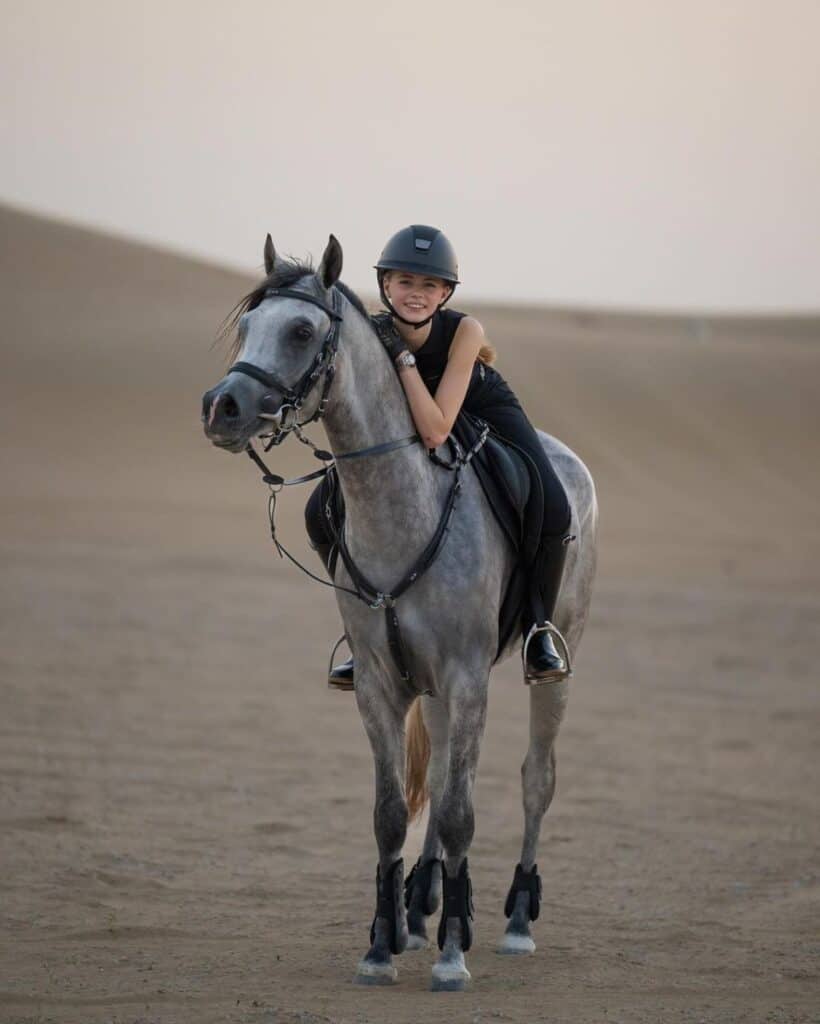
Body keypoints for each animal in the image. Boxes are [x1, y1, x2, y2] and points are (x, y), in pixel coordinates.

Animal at [201, 234, 598, 991]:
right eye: (248, 325)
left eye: (302, 332)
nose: (222, 407)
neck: (397, 503)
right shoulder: (383, 683)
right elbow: (393, 814)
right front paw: (384, 944)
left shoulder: (469, 680)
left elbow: (463, 813)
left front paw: (452, 957)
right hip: (433, 691)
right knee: (438, 778)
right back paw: (421, 907)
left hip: (554, 664)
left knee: (536, 779)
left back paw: (515, 920)